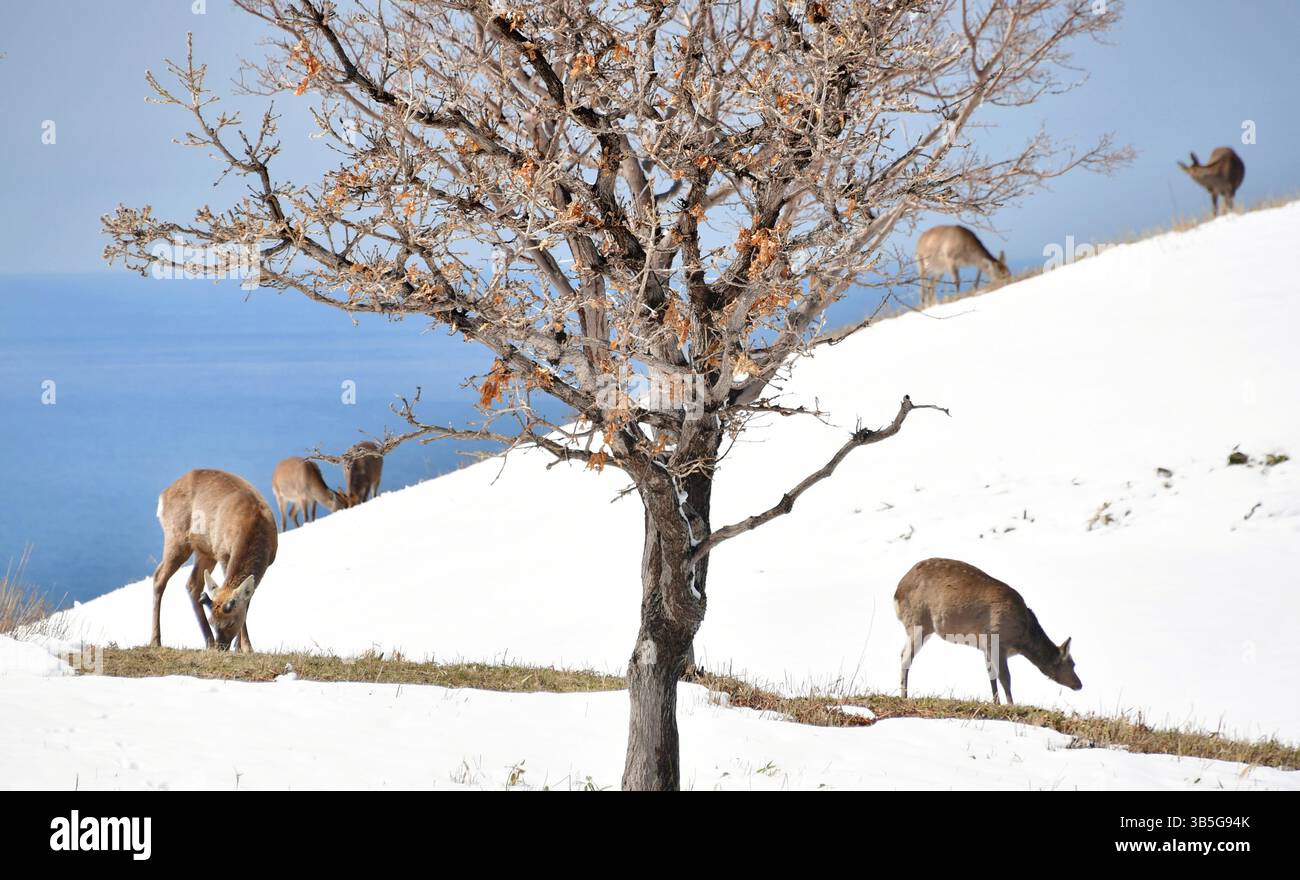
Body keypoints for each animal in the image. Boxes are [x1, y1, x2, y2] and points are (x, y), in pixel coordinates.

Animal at [151, 469, 278, 652]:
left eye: (231, 622)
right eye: (213, 621)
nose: (222, 647)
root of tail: (163, 496)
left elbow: (247, 599)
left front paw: (240, 648)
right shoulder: (224, 553)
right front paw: (247, 648)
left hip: (204, 550)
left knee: (192, 583)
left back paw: (208, 642)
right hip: (177, 538)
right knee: (159, 577)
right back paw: (155, 641)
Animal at [894, 558, 1081, 705]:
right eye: (1072, 664)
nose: (1079, 684)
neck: (1021, 641)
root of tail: (897, 592)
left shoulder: (986, 646)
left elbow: (991, 675)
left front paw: (996, 703)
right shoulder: (997, 639)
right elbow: (1005, 677)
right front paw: (1011, 705)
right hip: (918, 621)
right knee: (906, 655)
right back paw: (904, 695)